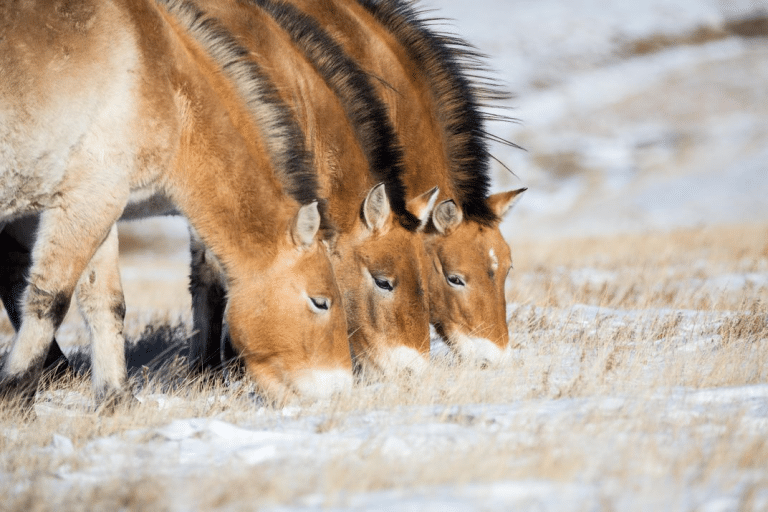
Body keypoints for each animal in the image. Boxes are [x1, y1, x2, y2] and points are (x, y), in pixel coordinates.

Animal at [0, 0, 352, 404]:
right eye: (320, 301)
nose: (341, 389)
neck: (160, 75)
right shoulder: (82, 201)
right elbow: (49, 299)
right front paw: (14, 394)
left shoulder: (100, 200)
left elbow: (106, 304)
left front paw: (116, 400)